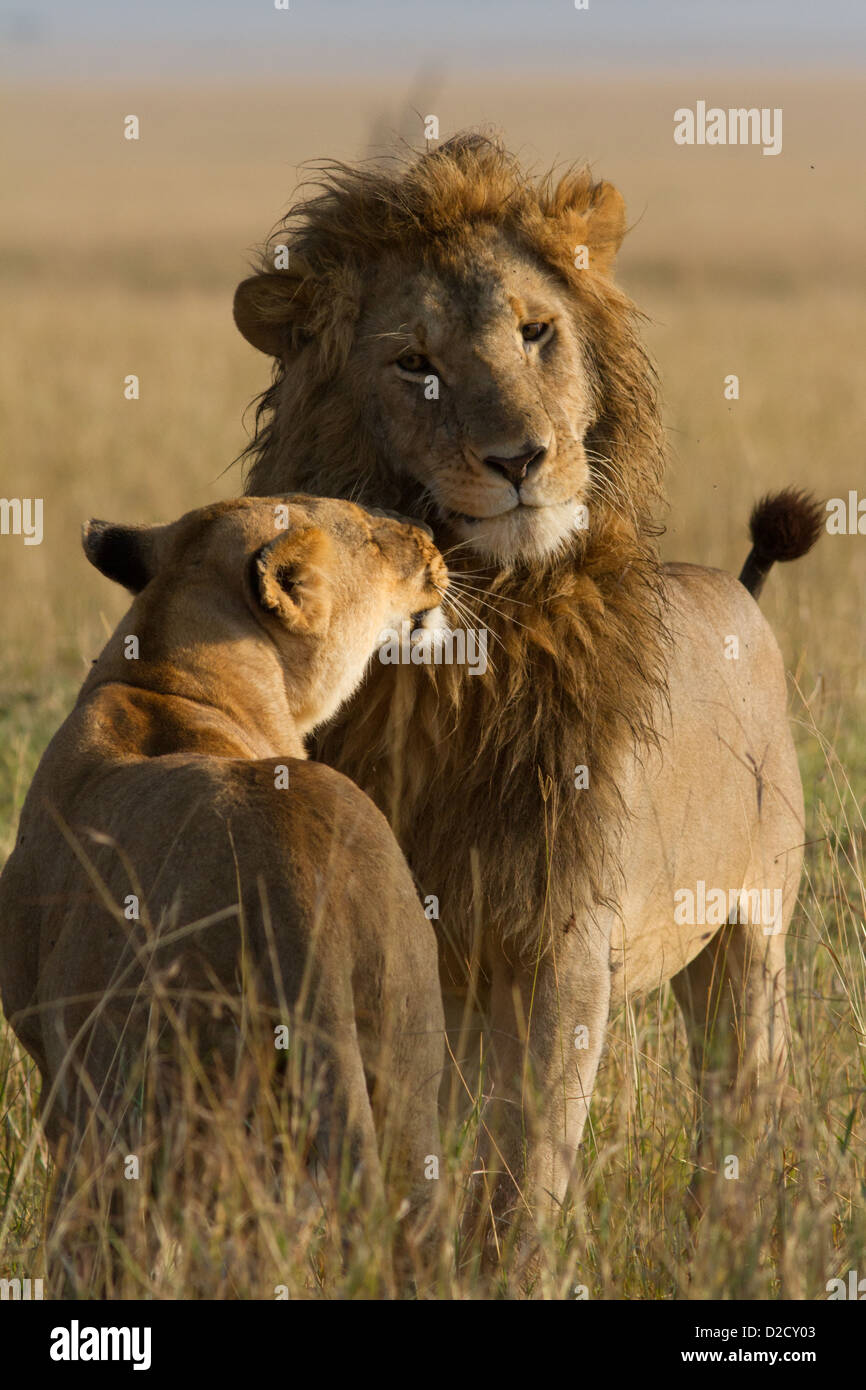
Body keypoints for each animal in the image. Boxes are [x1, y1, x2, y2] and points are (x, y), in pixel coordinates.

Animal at [232, 134, 823, 1257]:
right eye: (414, 364)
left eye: (537, 332)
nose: (521, 459)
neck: (473, 643)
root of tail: (736, 588)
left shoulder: (563, 943)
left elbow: (528, 1164)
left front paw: (508, 1263)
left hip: (749, 936)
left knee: (745, 1098)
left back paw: (726, 1240)